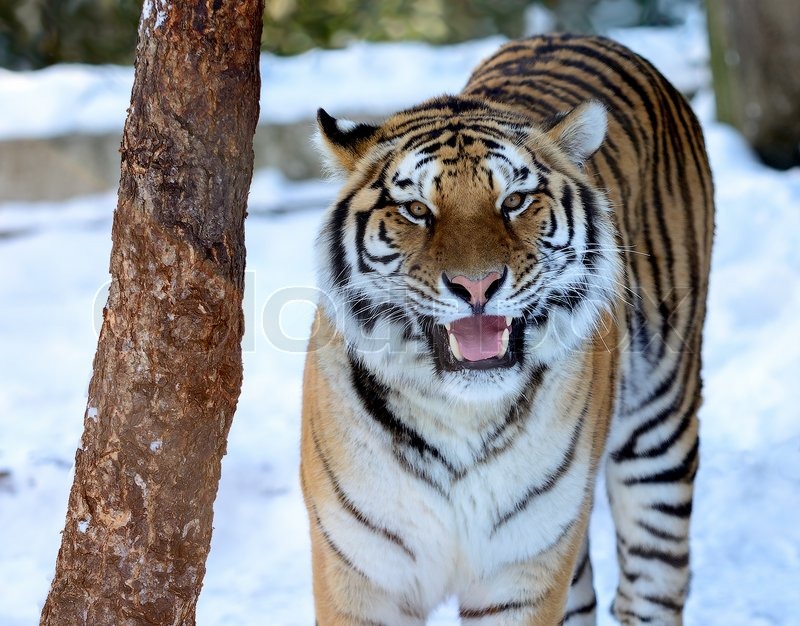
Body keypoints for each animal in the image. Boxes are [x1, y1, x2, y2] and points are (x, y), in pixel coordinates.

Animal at [301, 33, 713, 625]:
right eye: (416, 209)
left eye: (514, 201)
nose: (477, 286)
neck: (458, 414)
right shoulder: (361, 574)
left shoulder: (524, 572)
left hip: (659, 421)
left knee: (653, 583)